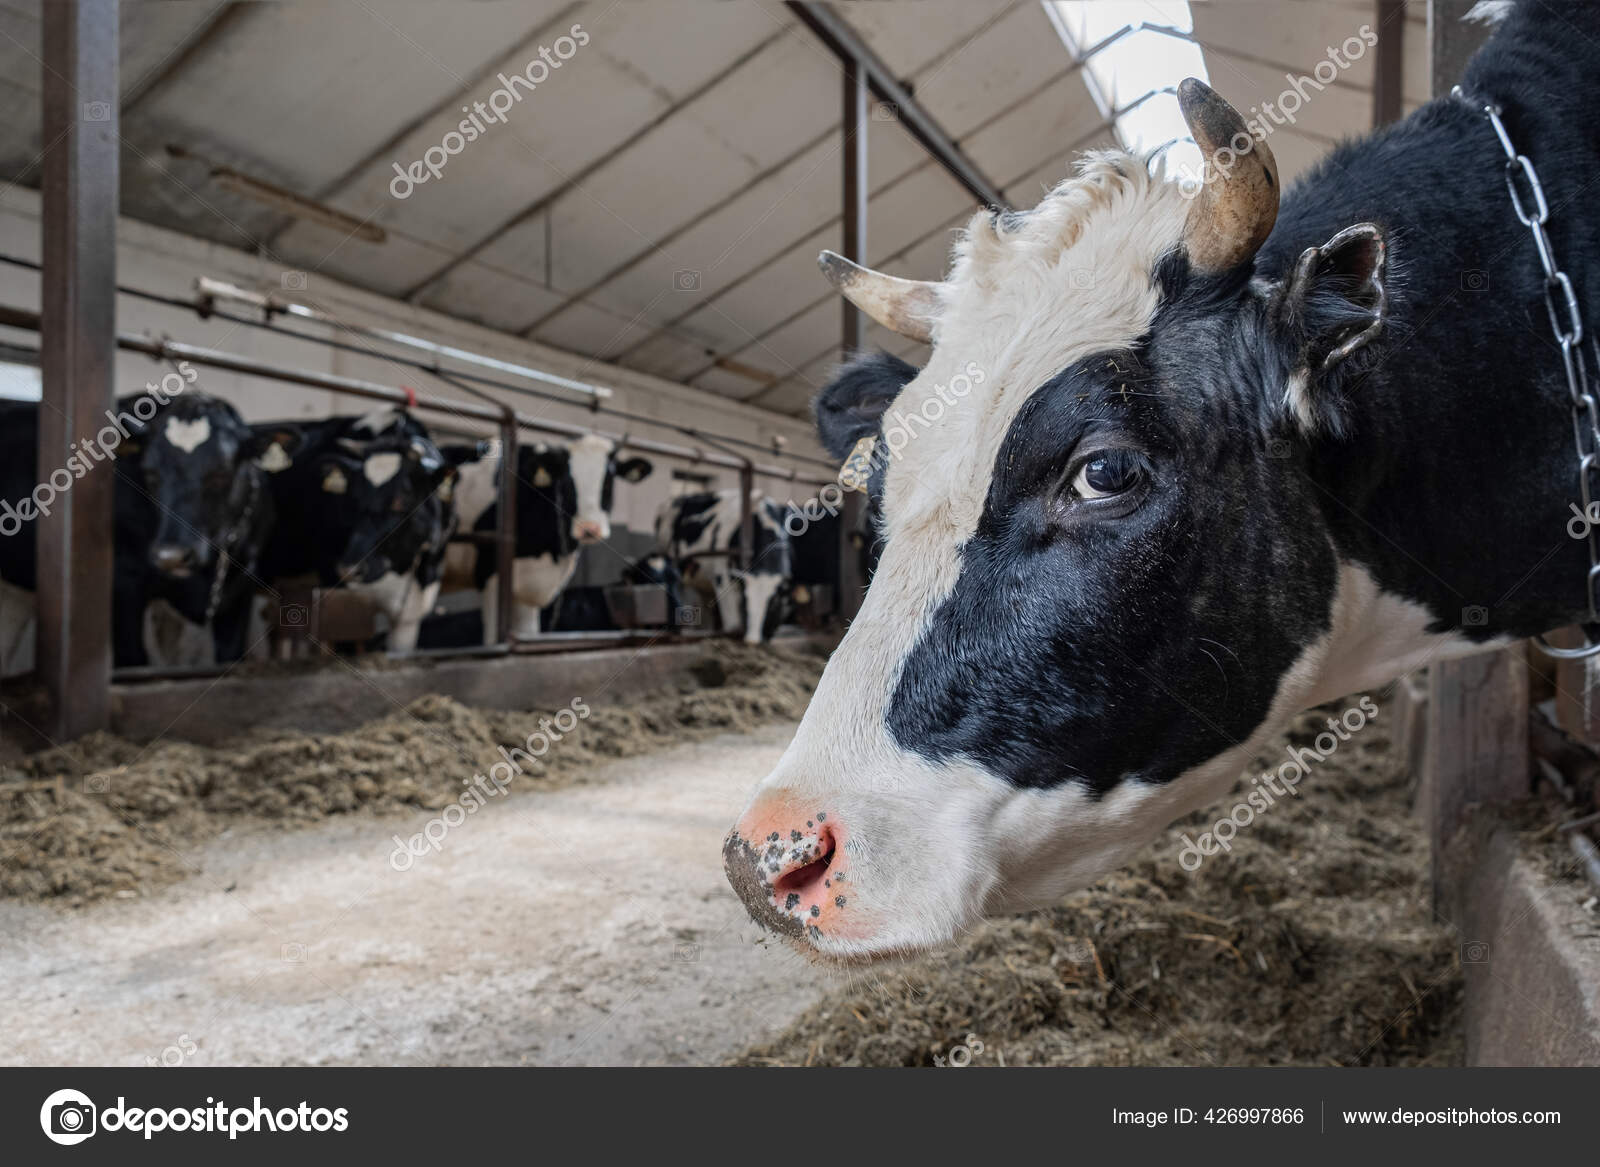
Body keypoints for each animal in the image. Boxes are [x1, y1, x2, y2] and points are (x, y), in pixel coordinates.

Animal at [438, 434, 651, 642]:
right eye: (567, 482)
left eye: (608, 481)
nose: (589, 529)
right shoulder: (491, 573)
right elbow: (493, 639)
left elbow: (529, 633)